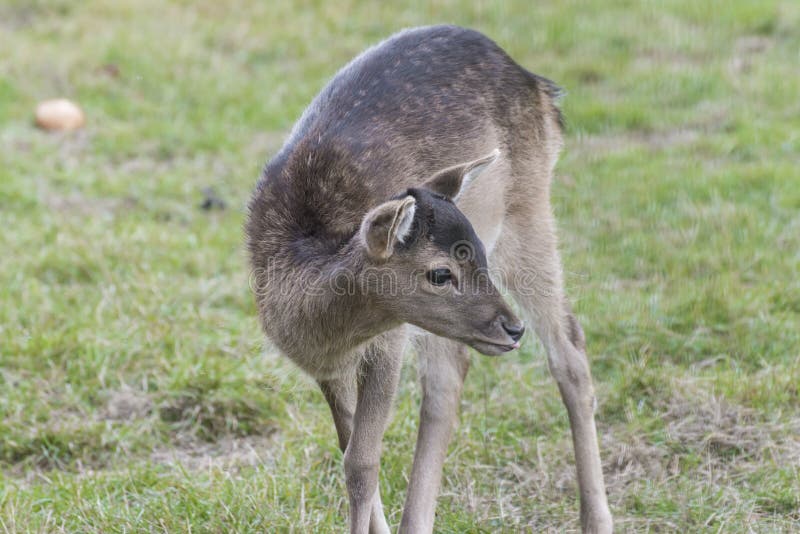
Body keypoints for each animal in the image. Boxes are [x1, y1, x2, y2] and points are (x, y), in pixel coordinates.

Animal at [246, 25, 612, 534]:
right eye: (441, 272)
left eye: (477, 252)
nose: (512, 328)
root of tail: (539, 84)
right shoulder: (329, 367)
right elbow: (349, 446)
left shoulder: (389, 341)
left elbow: (362, 460)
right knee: (448, 375)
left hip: (529, 210)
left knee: (570, 347)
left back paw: (597, 519)